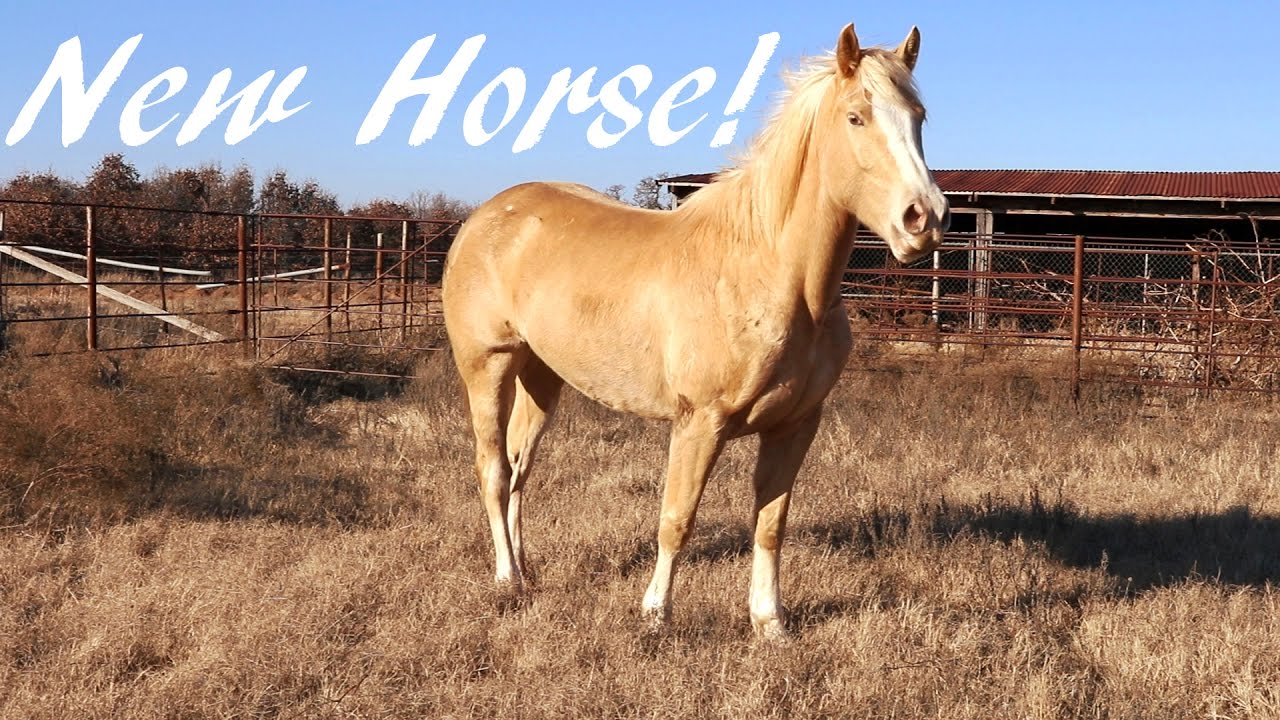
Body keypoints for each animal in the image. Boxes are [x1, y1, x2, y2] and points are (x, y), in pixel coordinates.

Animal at [441, 21, 949, 639]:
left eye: (918, 116)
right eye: (856, 116)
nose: (924, 219)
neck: (768, 271)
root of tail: (483, 217)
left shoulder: (795, 426)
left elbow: (770, 525)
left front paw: (769, 623)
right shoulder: (699, 423)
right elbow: (676, 519)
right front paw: (655, 615)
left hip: (542, 376)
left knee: (520, 469)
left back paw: (526, 569)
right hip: (487, 367)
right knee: (493, 469)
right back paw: (507, 579)